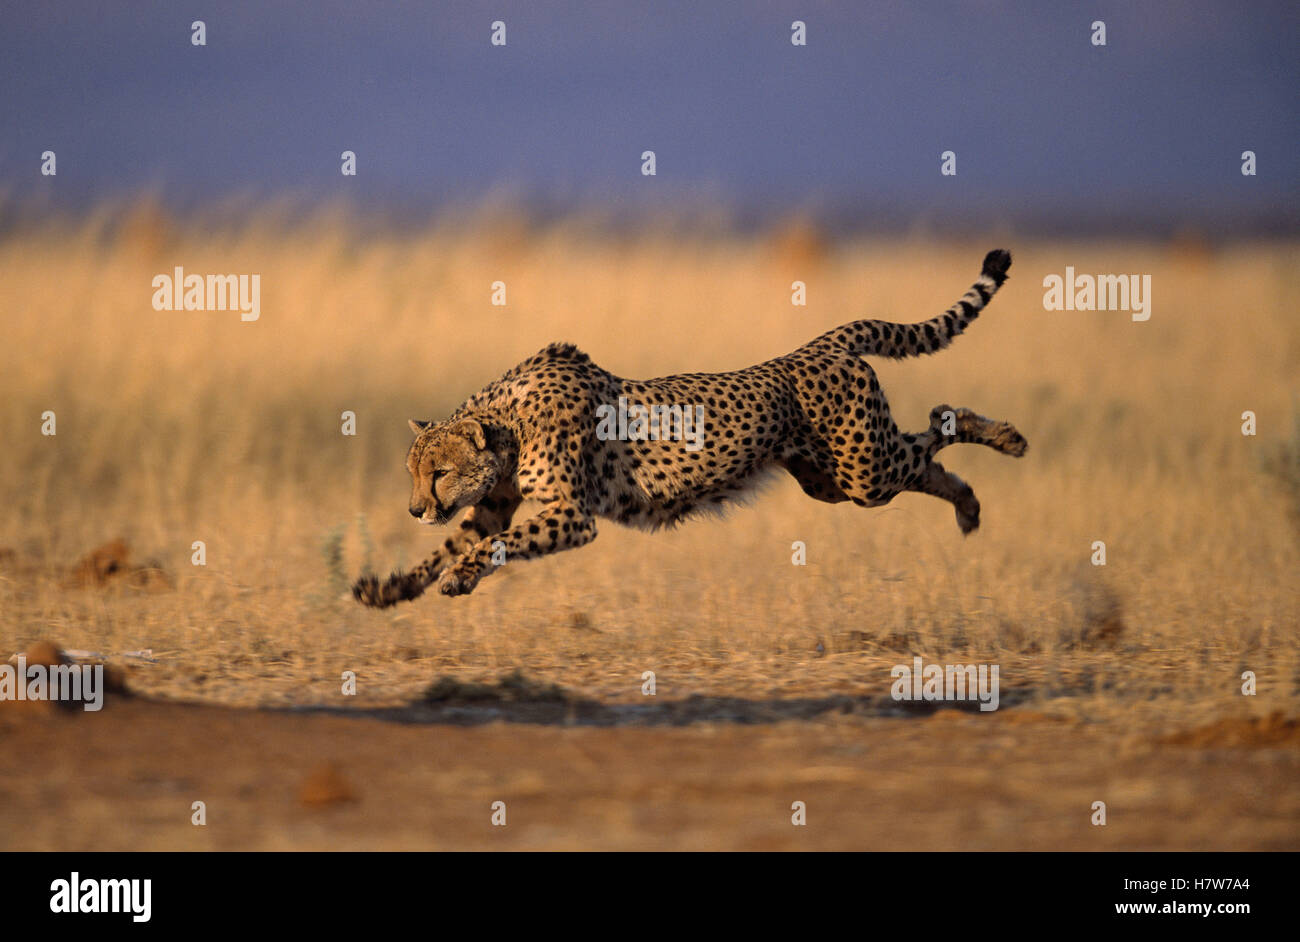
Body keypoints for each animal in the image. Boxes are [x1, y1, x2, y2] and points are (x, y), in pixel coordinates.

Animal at [353, 248, 1025, 606]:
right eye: (413, 473)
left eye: (439, 472)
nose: (414, 508)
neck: (510, 421)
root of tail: (818, 345)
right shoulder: (496, 503)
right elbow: (456, 542)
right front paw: (391, 587)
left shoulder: (574, 516)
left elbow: (494, 545)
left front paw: (462, 576)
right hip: (831, 481)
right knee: (927, 460)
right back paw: (970, 507)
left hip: (863, 469)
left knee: (940, 424)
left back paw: (1006, 440)